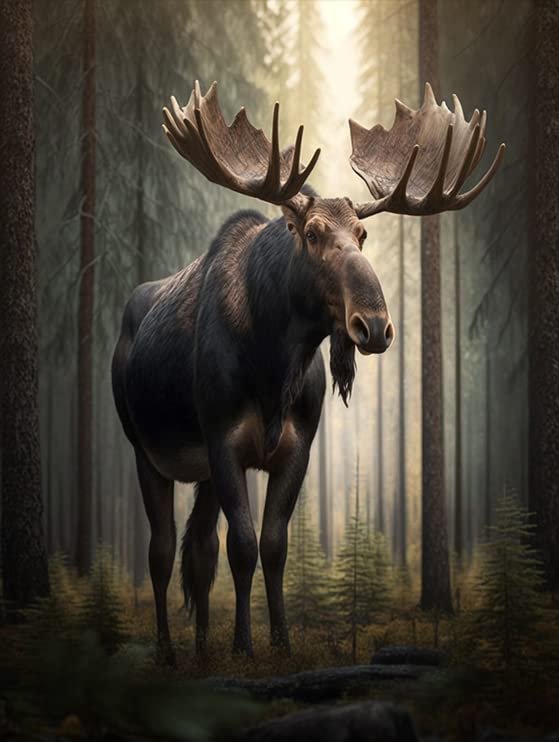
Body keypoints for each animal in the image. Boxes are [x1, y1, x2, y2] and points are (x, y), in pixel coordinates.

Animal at [112, 80, 504, 664]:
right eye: (313, 233)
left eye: (363, 235)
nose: (375, 325)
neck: (276, 369)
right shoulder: (222, 440)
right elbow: (243, 546)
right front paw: (244, 647)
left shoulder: (299, 445)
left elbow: (274, 545)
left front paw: (279, 642)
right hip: (145, 449)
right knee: (161, 550)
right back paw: (166, 650)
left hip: (198, 470)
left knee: (197, 549)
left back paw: (201, 649)